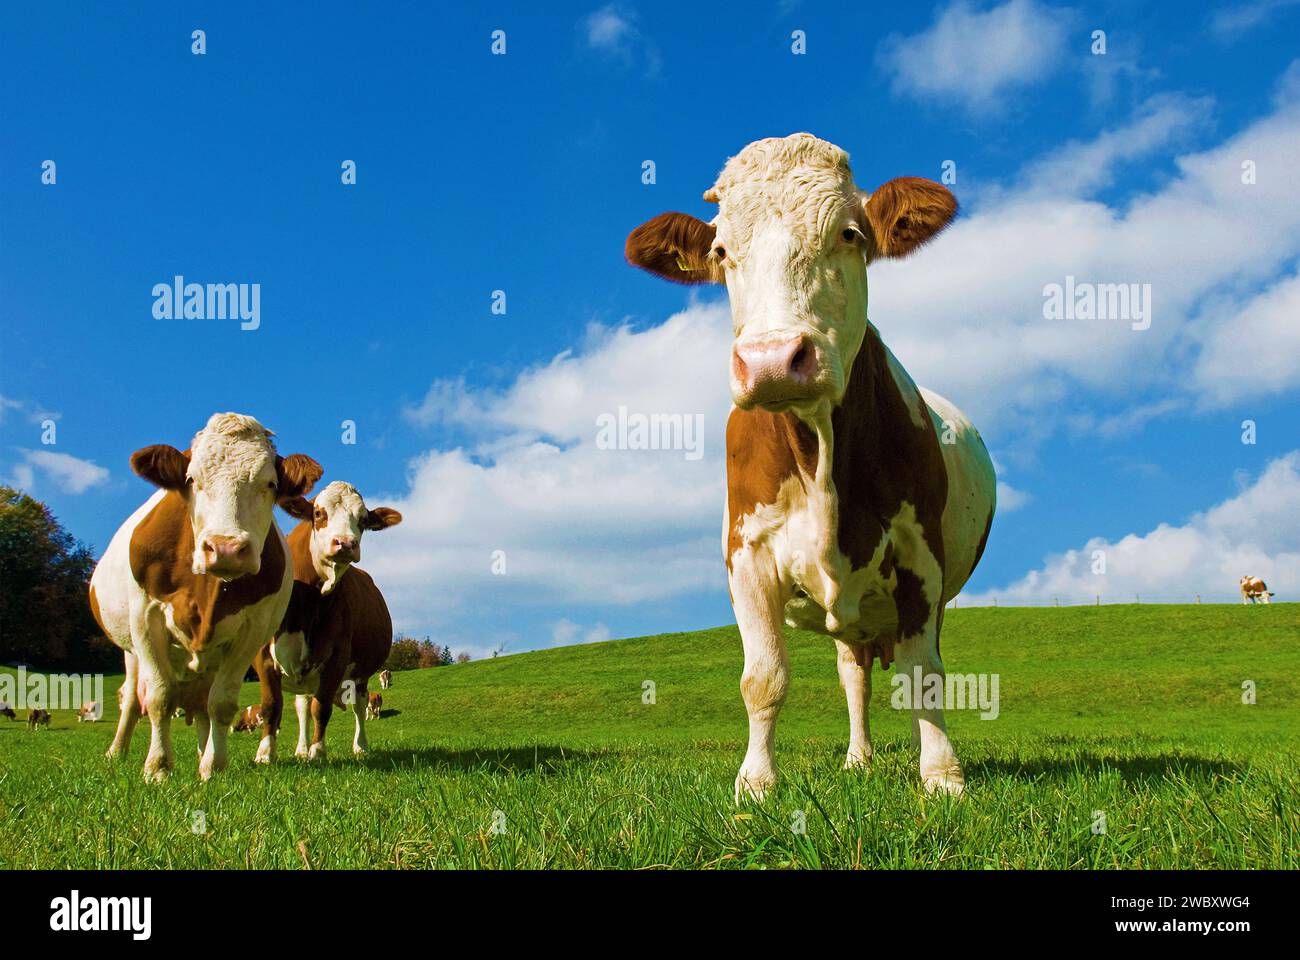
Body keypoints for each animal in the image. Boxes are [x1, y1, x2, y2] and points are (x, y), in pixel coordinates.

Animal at [87, 412, 322, 781]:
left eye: (270, 484)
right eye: (191, 478)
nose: (225, 548)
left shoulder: (252, 632)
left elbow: (221, 703)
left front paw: (213, 766)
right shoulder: (146, 619)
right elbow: (159, 698)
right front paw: (158, 768)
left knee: (201, 703)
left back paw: (202, 752)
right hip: (130, 649)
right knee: (131, 698)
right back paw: (117, 752)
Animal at [251, 481, 401, 763]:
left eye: (363, 520)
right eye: (319, 513)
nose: (345, 543)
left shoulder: (336, 655)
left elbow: (321, 708)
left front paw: (318, 752)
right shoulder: (263, 652)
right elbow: (272, 705)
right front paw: (265, 753)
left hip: (360, 673)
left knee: (359, 706)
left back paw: (360, 746)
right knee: (301, 706)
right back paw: (300, 748)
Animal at [626, 134, 996, 800]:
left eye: (850, 233)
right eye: (721, 251)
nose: (772, 360)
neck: (816, 447)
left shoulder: (921, 559)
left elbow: (925, 674)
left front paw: (942, 776)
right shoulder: (746, 554)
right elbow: (763, 677)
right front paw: (756, 783)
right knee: (854, 674)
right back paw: (857, 759)